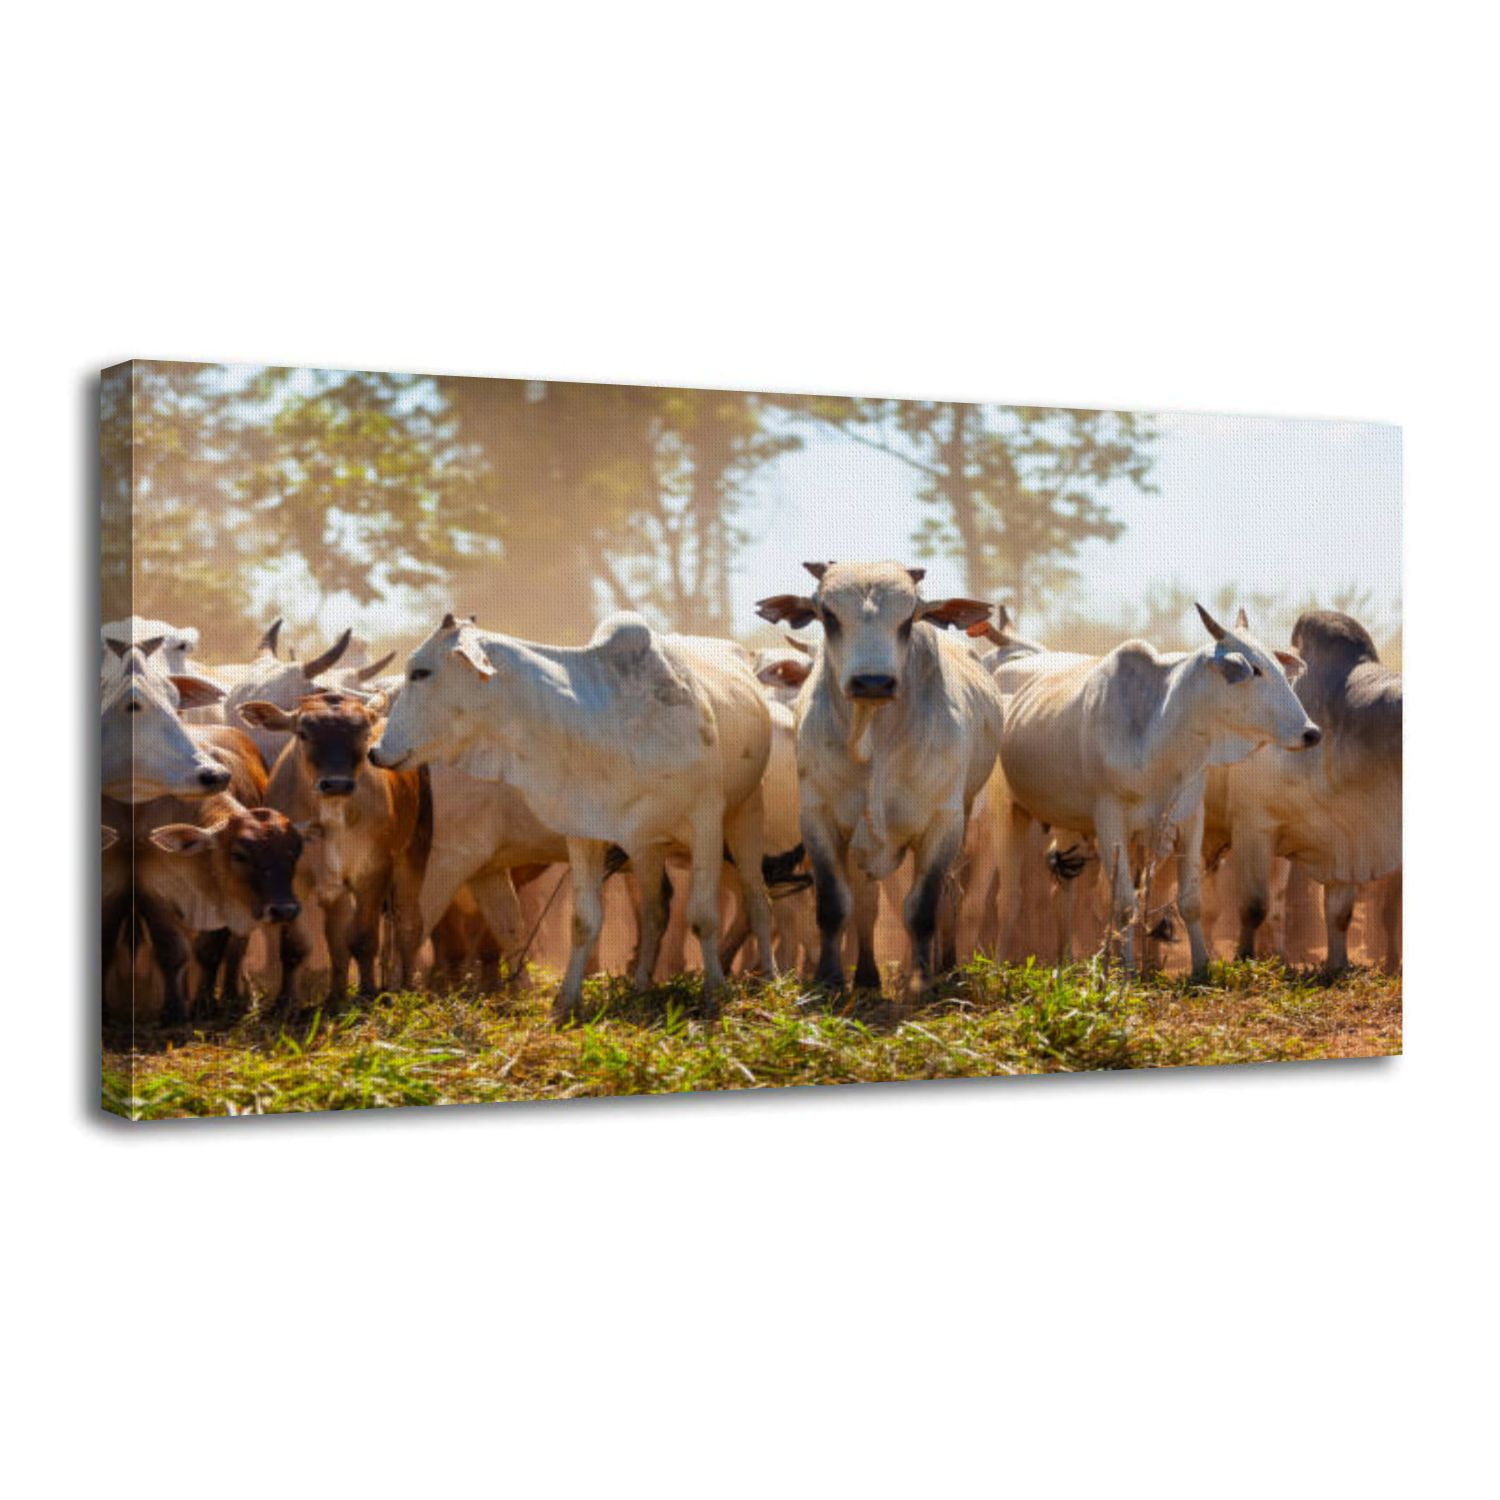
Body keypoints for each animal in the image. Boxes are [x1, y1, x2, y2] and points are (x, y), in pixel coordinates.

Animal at [240, 690, 424, 1005]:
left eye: (364, 734)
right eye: (303, 733)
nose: (336, 783)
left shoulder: (372, 872)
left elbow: (364, 939)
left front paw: (367, 993)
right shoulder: (297, 878)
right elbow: (296, 946)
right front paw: (285, 1002)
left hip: (410, 860)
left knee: (407, 924)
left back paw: (405, 987)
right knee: (337, 939)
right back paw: (335, 994)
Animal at [369, 612, 776, 1023]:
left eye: (421, 672)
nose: (375, 751)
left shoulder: (704, 821)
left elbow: (703, 915)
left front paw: (715, 992)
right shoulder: (579, 833)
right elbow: (580, 922)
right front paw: (564, 1001)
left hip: (745, 813)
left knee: (756, 898)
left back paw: (771, 979)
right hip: (646, 847)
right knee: (655, 910)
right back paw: (641, 987)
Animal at [755, 561, 1001, 1000]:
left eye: (908, 618)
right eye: (828, 615)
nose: (872, 682)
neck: (873, 742)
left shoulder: (943, 823)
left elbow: (923, 908)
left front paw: (921, 981)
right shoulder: (819, 820)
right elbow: (837, 906)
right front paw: (831, 979)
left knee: (951, 899)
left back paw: (944, 967)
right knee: (869, 906)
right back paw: (870, 977)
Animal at [996, 603, 1320, 974]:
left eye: (1279, 668)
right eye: (1255, 670)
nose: (1311, 732)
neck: (1161, 730)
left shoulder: (1190, 818)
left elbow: (1189, 901)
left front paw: (1201, 967)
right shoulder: (1110, 820)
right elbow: (1124, 905)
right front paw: (1128, 971)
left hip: (1069, 825)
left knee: (1063, 887)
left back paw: (1067, 959)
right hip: (1009, 811)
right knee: (1010, 899)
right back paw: (1002, 963)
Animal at [1208, 609, 1401, 971]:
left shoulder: (1345, 839)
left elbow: (1340, 913)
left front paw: (1336, 966)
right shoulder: (1252, 826)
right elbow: (1253, 905)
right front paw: (1243, 958)